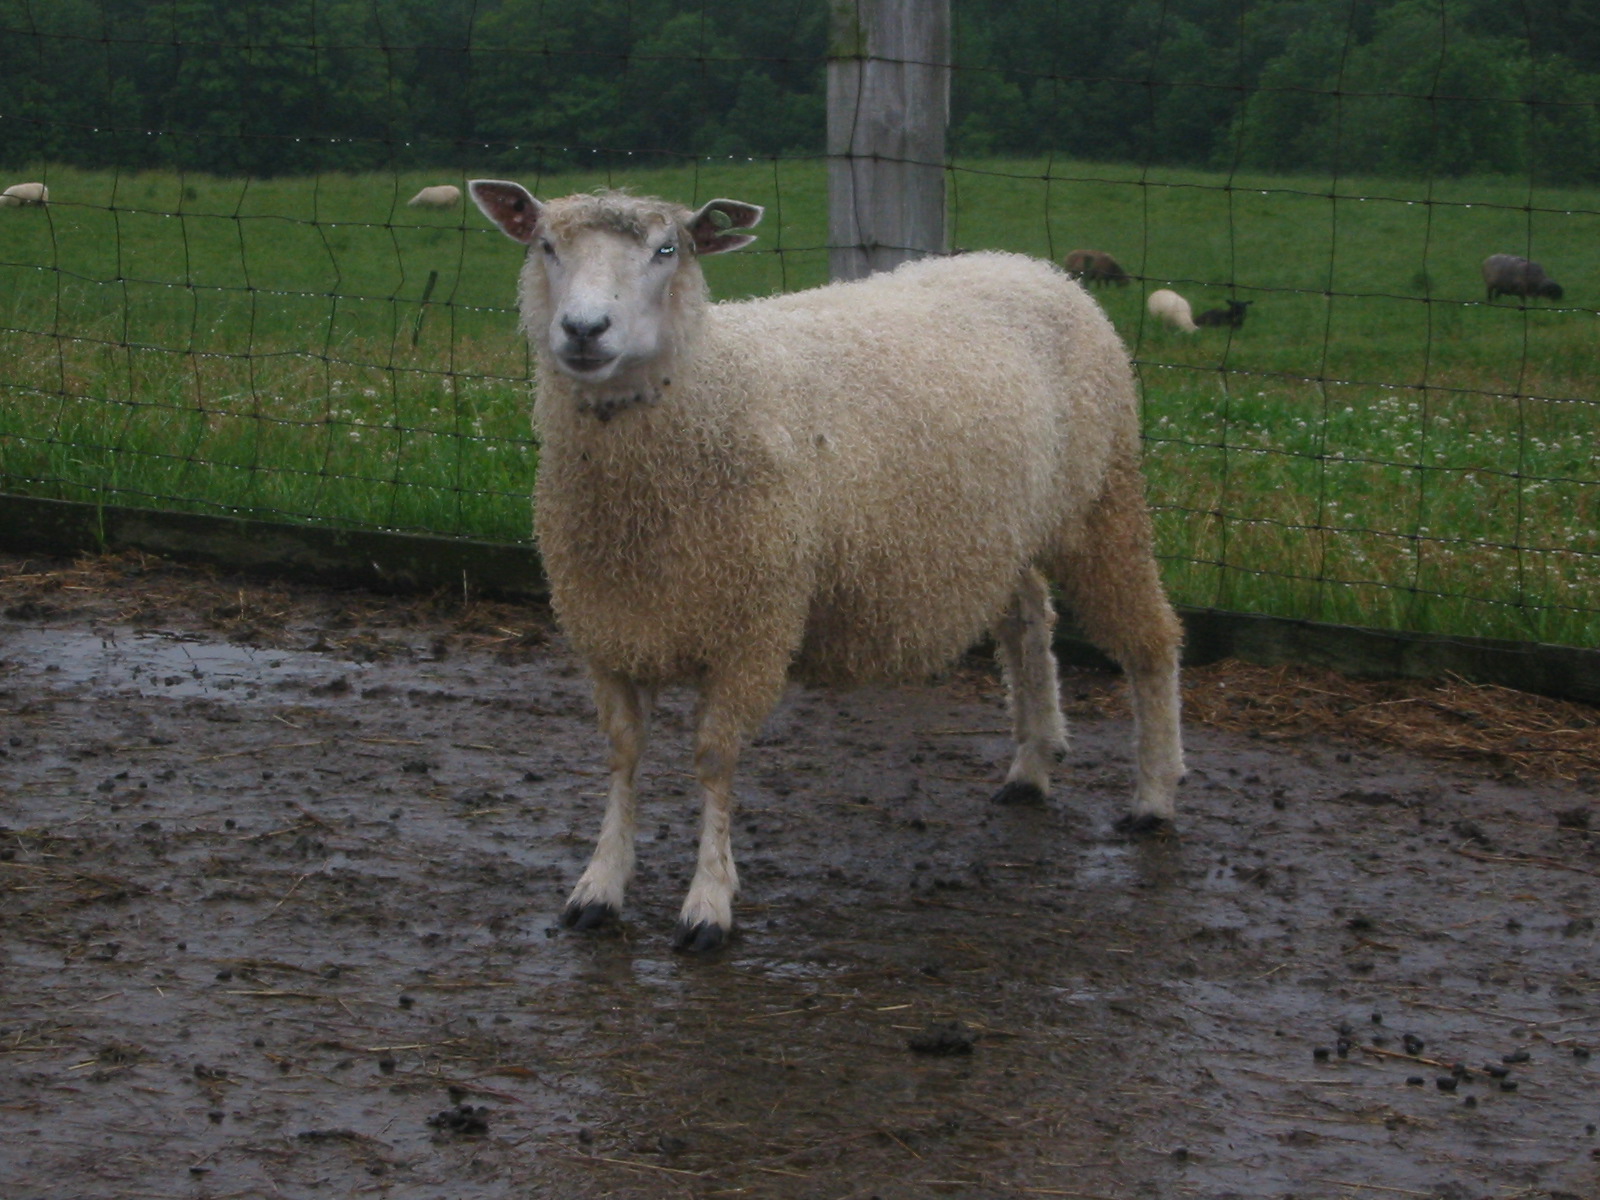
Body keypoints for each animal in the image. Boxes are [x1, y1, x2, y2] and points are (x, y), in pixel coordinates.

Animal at [469, 181, 1185, 952]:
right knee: (1027, 623)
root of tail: (1031, 266)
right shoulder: (610, 627)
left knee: (1150, 640)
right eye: (545, 245)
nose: (584, 329)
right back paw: (1033, 762)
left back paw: (1153, 795)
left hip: (1104, 498)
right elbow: (624, 755)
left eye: (669, 249)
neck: (707, 391)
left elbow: (714, 759)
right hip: (1001, 529)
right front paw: (599, 886)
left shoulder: (752, 627)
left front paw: (708, 900)